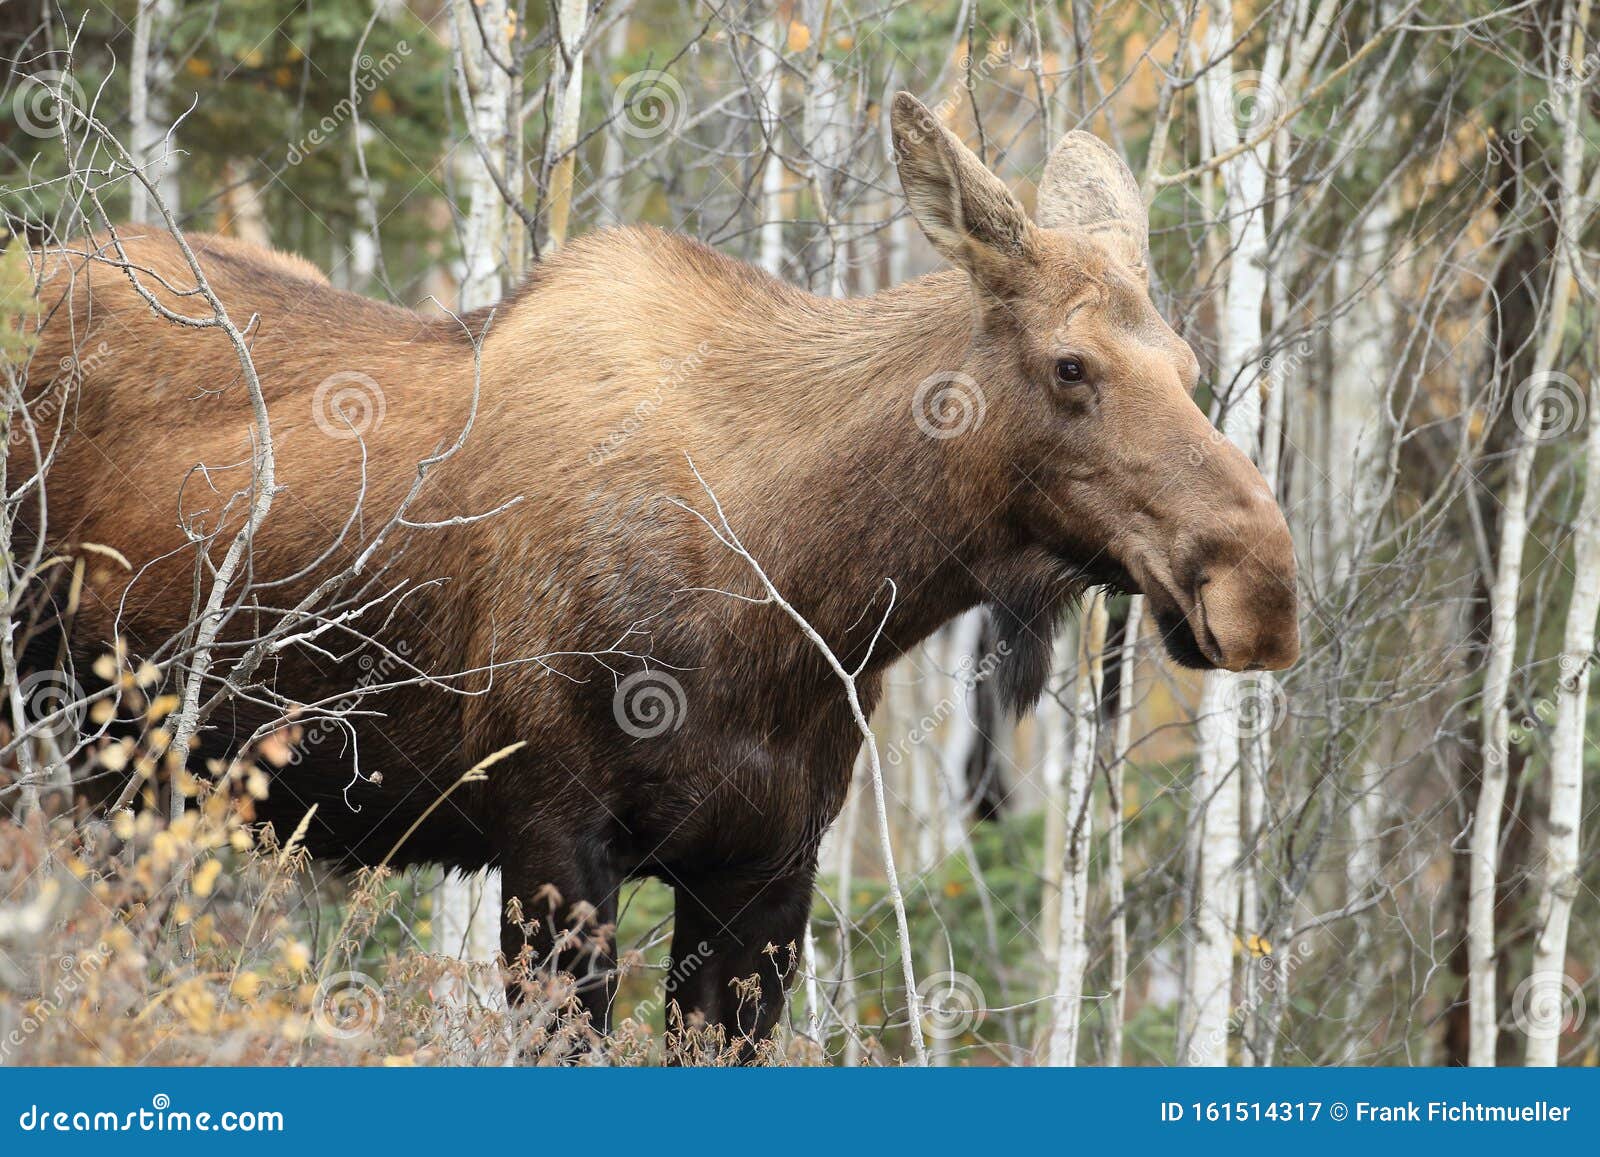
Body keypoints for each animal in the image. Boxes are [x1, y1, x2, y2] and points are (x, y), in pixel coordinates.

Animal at [24, 93, 1297, 1057]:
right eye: (1070, 364)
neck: (806, 592)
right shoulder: (549, 839)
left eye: (1188, 362)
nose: (1261, 586)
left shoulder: (767, 868)